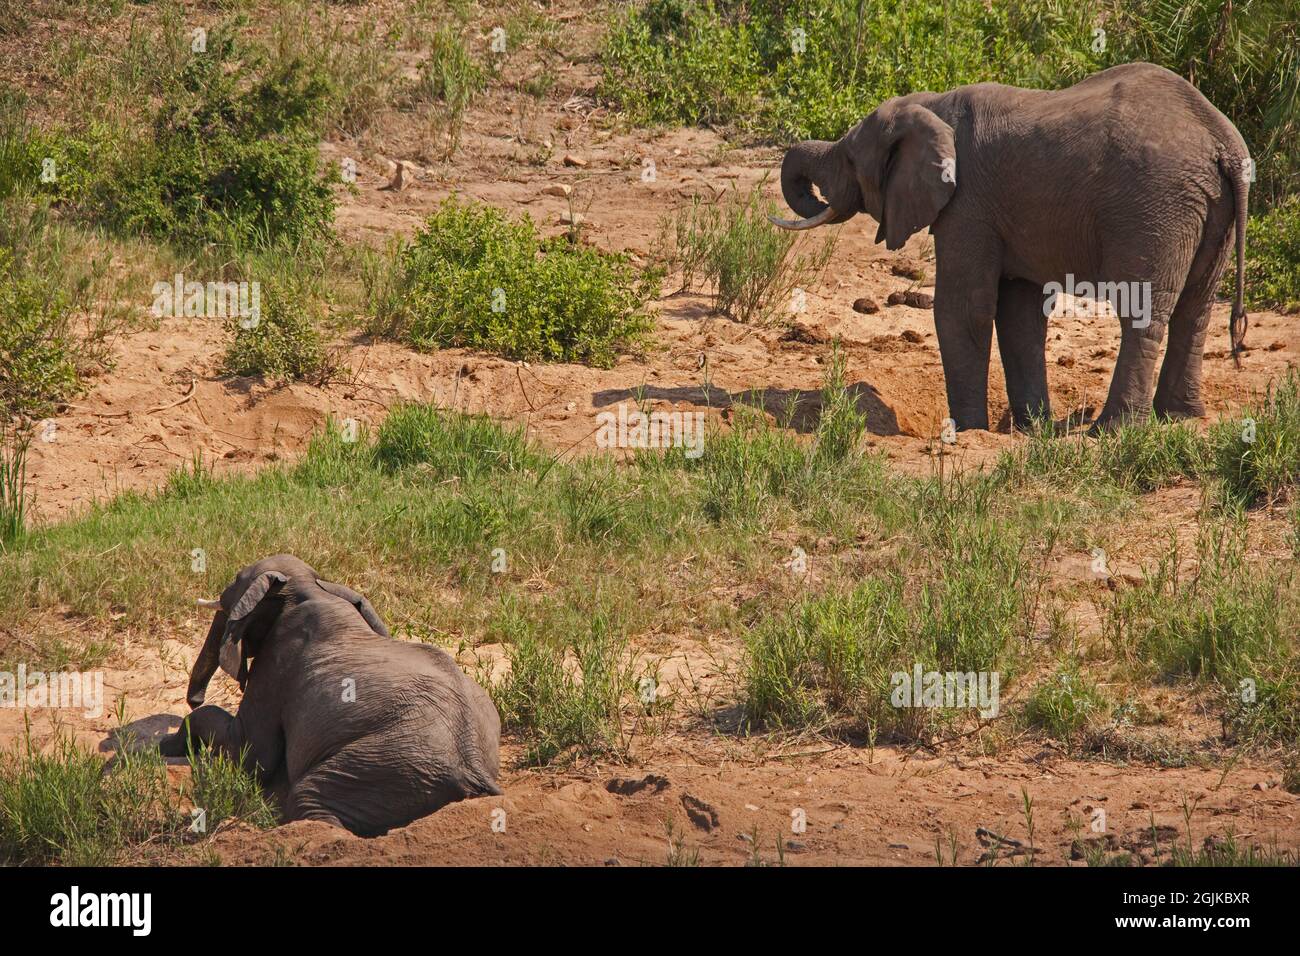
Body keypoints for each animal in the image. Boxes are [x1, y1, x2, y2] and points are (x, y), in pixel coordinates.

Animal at [160, 554, 502, 836]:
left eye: (234, 579)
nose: (194, 698)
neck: (311, 588)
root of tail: (474, 771)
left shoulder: (276, 666)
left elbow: (252, 754)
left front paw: (165, 747)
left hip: (386, 766)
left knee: (308, 798)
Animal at [772, 62, 1249, 431]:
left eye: (851, 159)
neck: (932, 103)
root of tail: (1222, 140)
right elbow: (1020, 315)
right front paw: (1030, 429)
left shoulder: (968, 203)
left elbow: (965, 308)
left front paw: (969, 429)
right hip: (1207, 210)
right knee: (1197, 309)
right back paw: (1180, 419)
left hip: (1154, 208)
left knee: (1143, 311)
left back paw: (1112, 430)